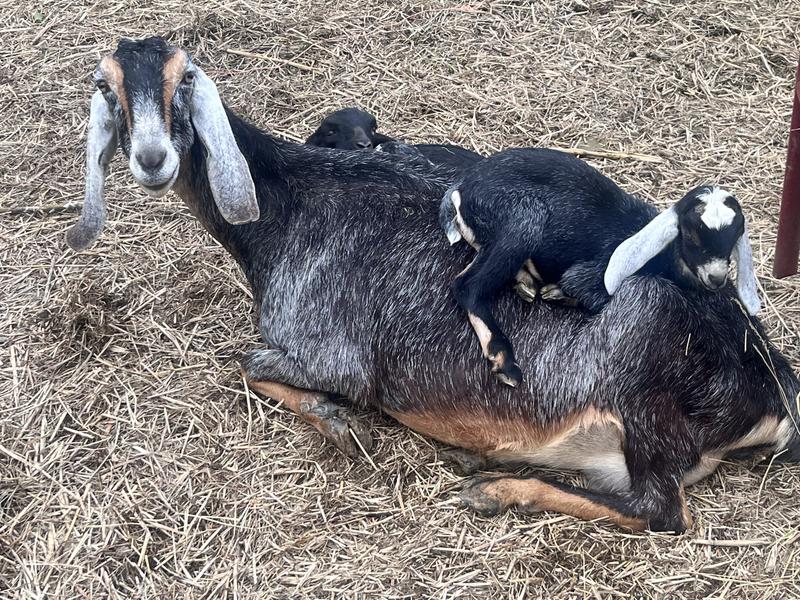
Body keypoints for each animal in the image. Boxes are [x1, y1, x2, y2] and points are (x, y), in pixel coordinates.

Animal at [441, 148, 762, 387]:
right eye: (691, 234)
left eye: (734, 237)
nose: (716, 277)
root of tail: (462, 189)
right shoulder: (591, 275)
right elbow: (590, 293)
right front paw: (559, 293)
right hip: (523, 218)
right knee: (467, 285)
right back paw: (503, 358)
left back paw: (525, 281)